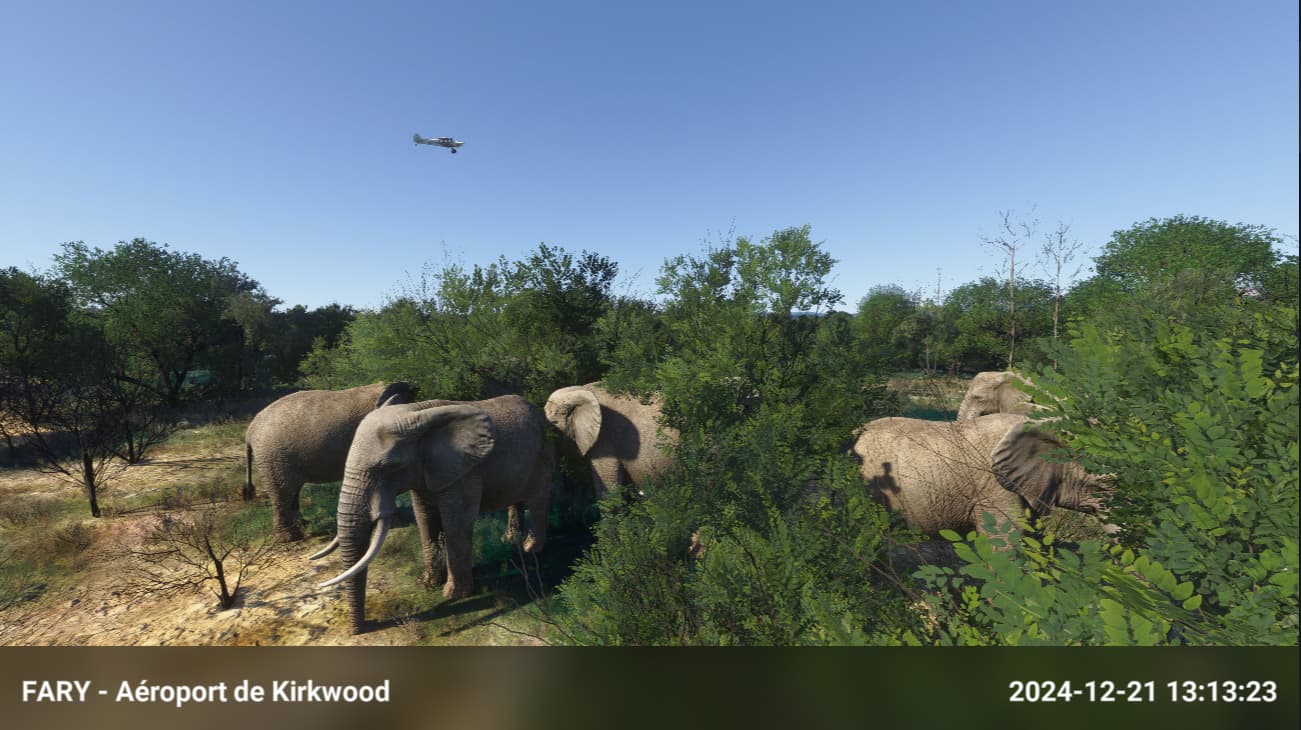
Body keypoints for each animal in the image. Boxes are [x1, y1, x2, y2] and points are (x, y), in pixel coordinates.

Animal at [245, 381, 414, 541]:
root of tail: (249, 432)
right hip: (273, 457)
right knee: (283, 491)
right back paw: (290, 538)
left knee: (292, 491)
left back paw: (304, 524)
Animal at [312, 395, 554, 634]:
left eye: (389, 466)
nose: (363, 628)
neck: (417, 413)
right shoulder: (424, 473)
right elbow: (425, 519)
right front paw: (427, 584)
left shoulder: (463, 473)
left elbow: (457, 523)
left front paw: (454, 595)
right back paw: (511, 539)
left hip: (542, 451)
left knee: (538, 498)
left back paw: (530, 548)